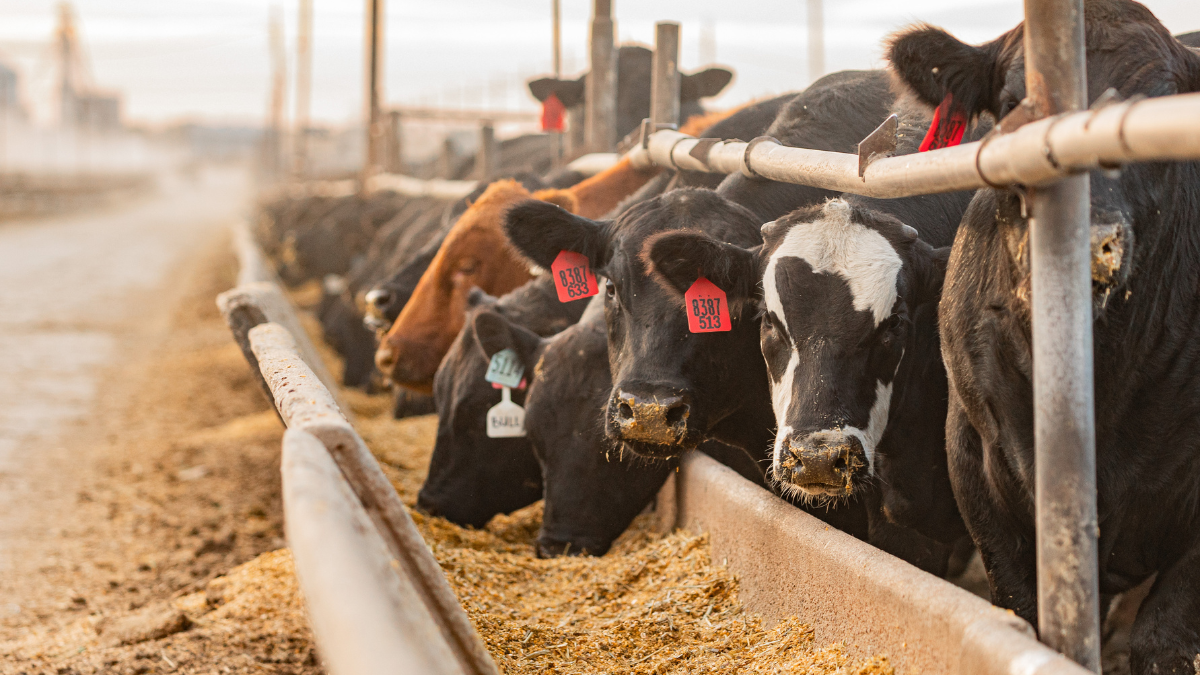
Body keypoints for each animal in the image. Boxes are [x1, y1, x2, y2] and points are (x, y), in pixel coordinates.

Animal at [888, 2, 1200, 670]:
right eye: (1010, 104)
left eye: (1162, 103)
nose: (1093, 240)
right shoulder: (973, 459)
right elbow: (1024, 611)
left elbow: (1164, 640)